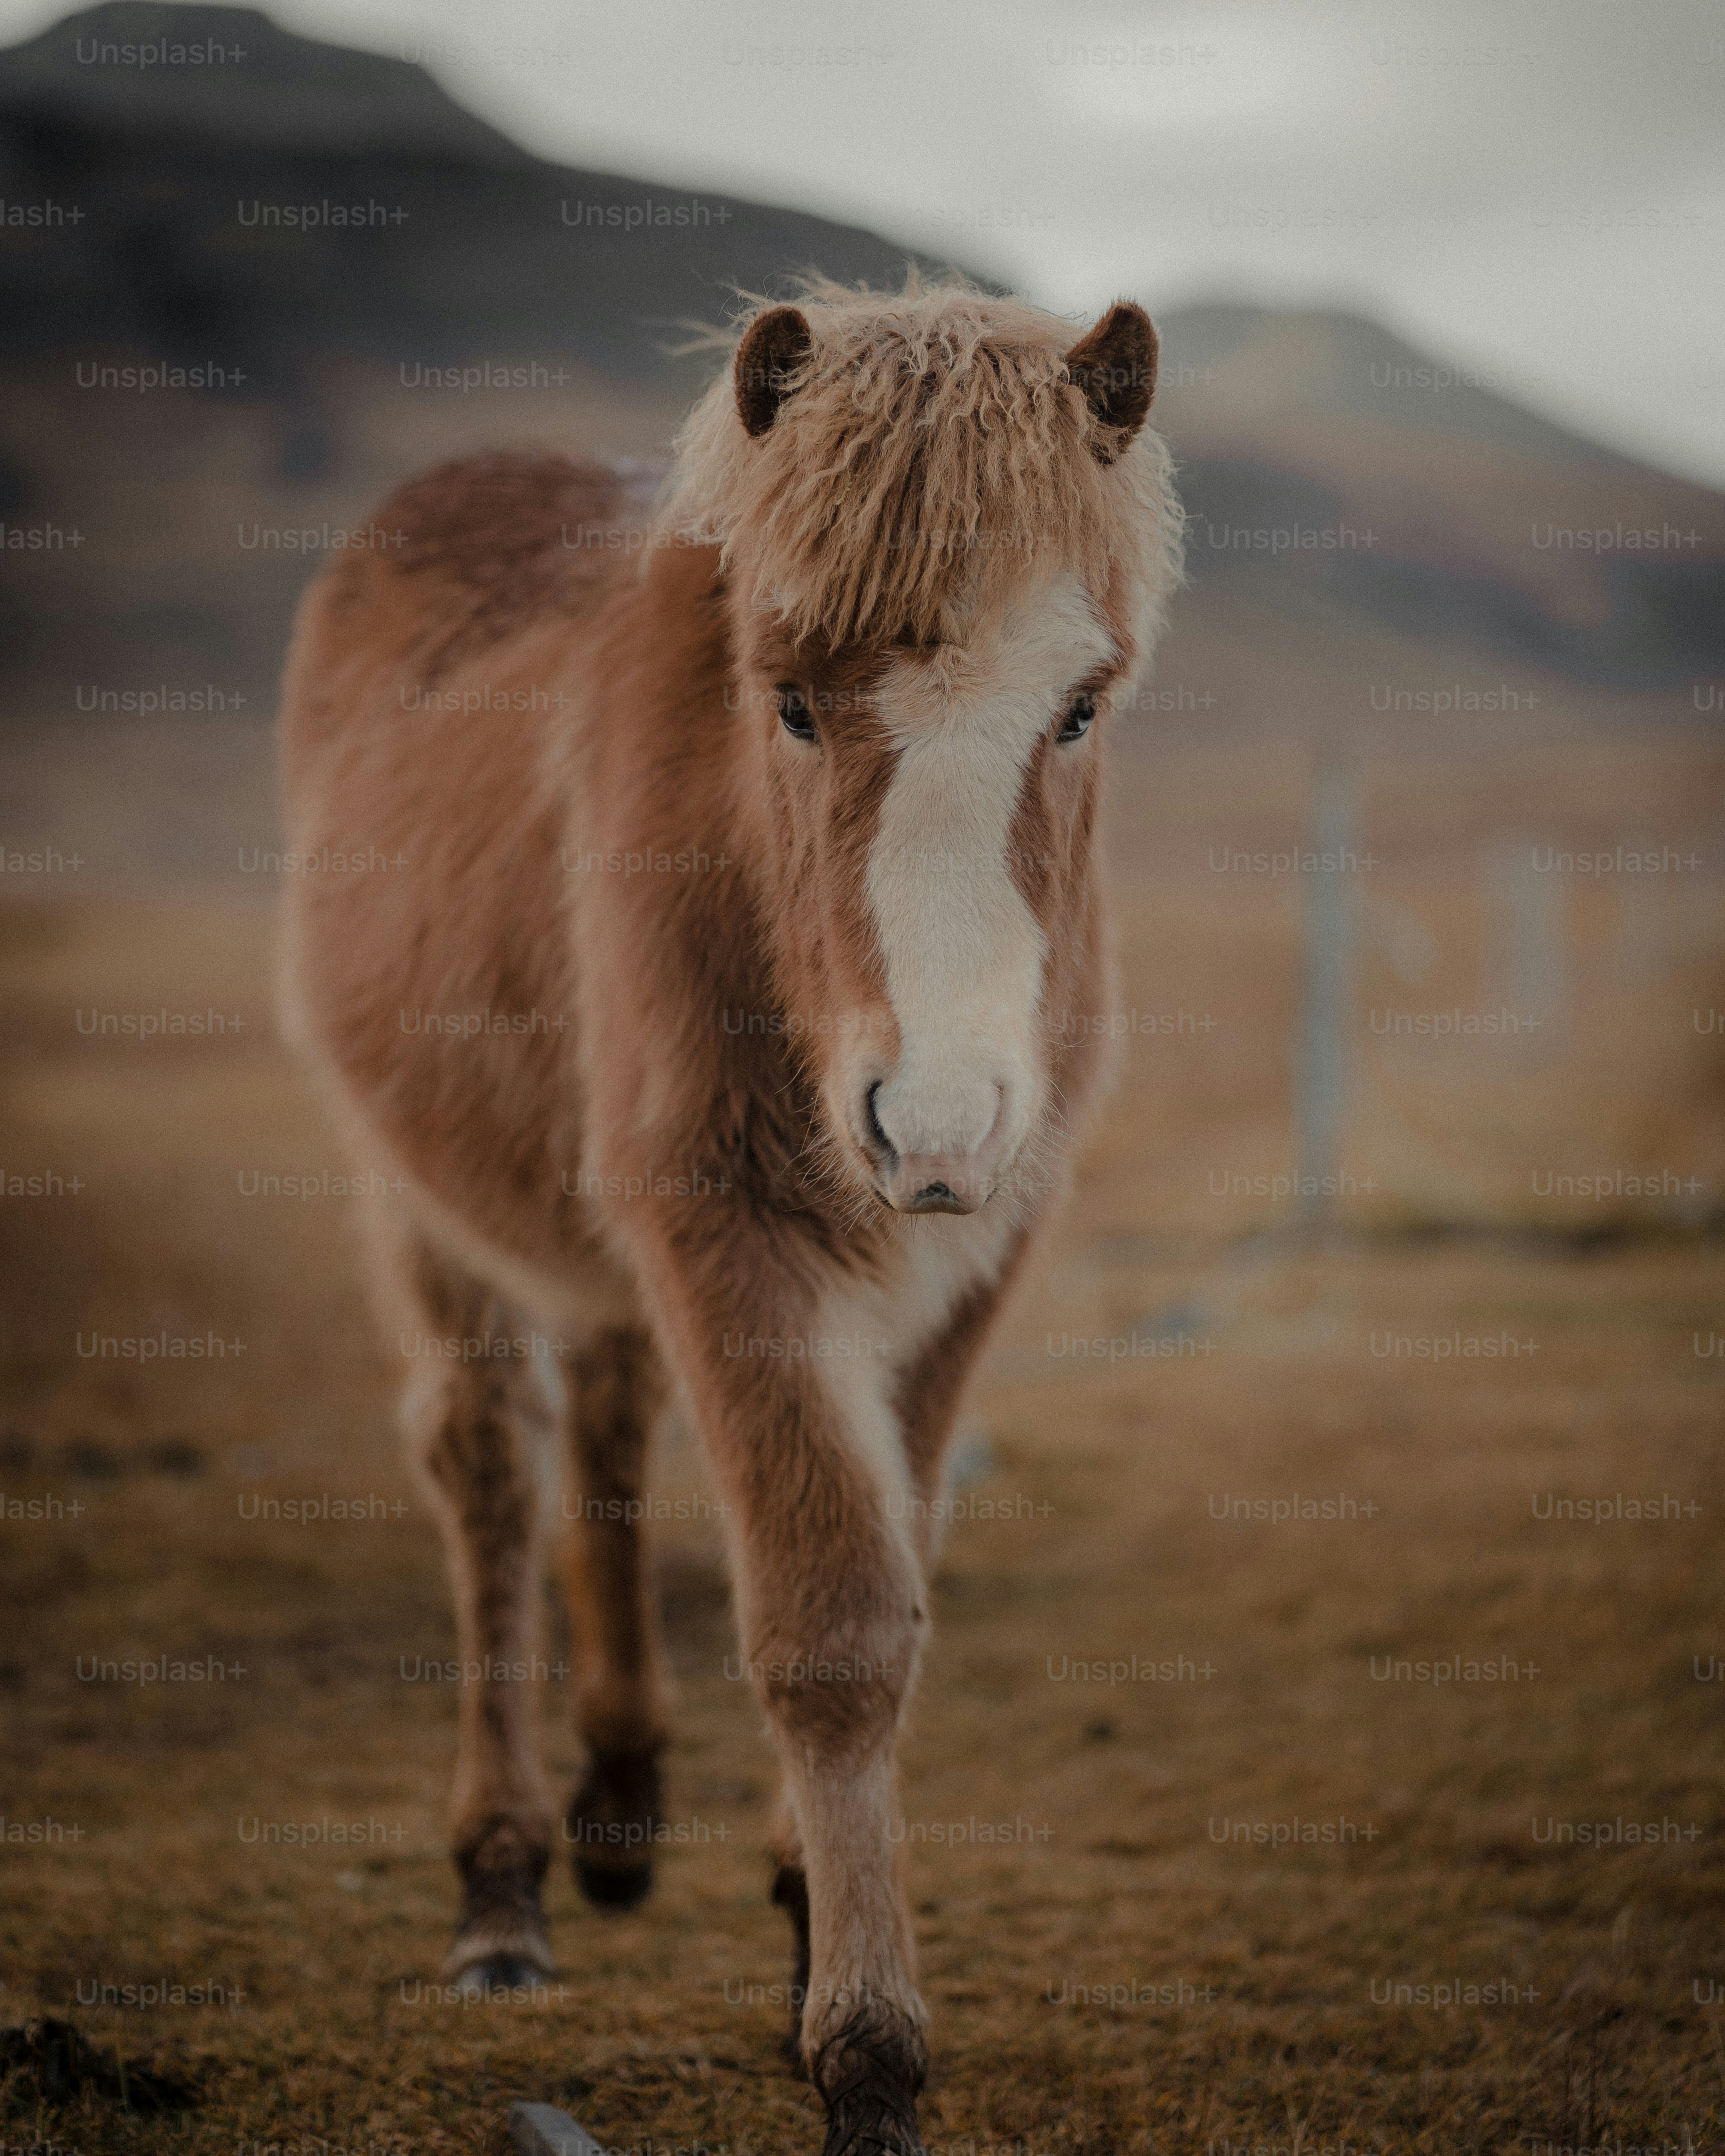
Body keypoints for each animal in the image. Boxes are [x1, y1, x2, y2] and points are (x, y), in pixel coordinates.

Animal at [276, 275, 1183, 2155]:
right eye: (788, 702)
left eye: (1078, 706)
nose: (934, 1119)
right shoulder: (727, 1238)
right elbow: (830, 1626)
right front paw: (867, 2054)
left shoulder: (968, 1260)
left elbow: (892, 1568)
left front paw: (799, 1920)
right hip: (418, 1202)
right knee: (490, 1469)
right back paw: (505, 1891)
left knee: (610, 1424)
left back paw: (622, 1799)